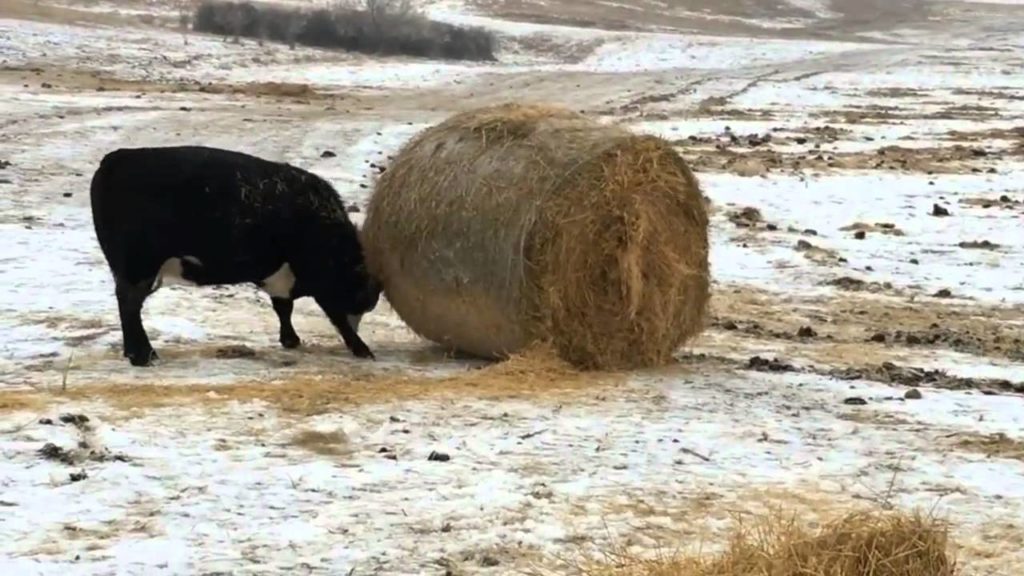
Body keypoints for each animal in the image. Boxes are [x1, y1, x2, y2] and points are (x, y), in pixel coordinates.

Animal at [89, 145, 381, 367]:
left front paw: (290, 340)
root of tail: (116, 159)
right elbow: (336, 316)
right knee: (130, 305)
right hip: (139, 265)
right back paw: (143, 355)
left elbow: (283, 307)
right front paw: (361, 348)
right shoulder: (321, 278)